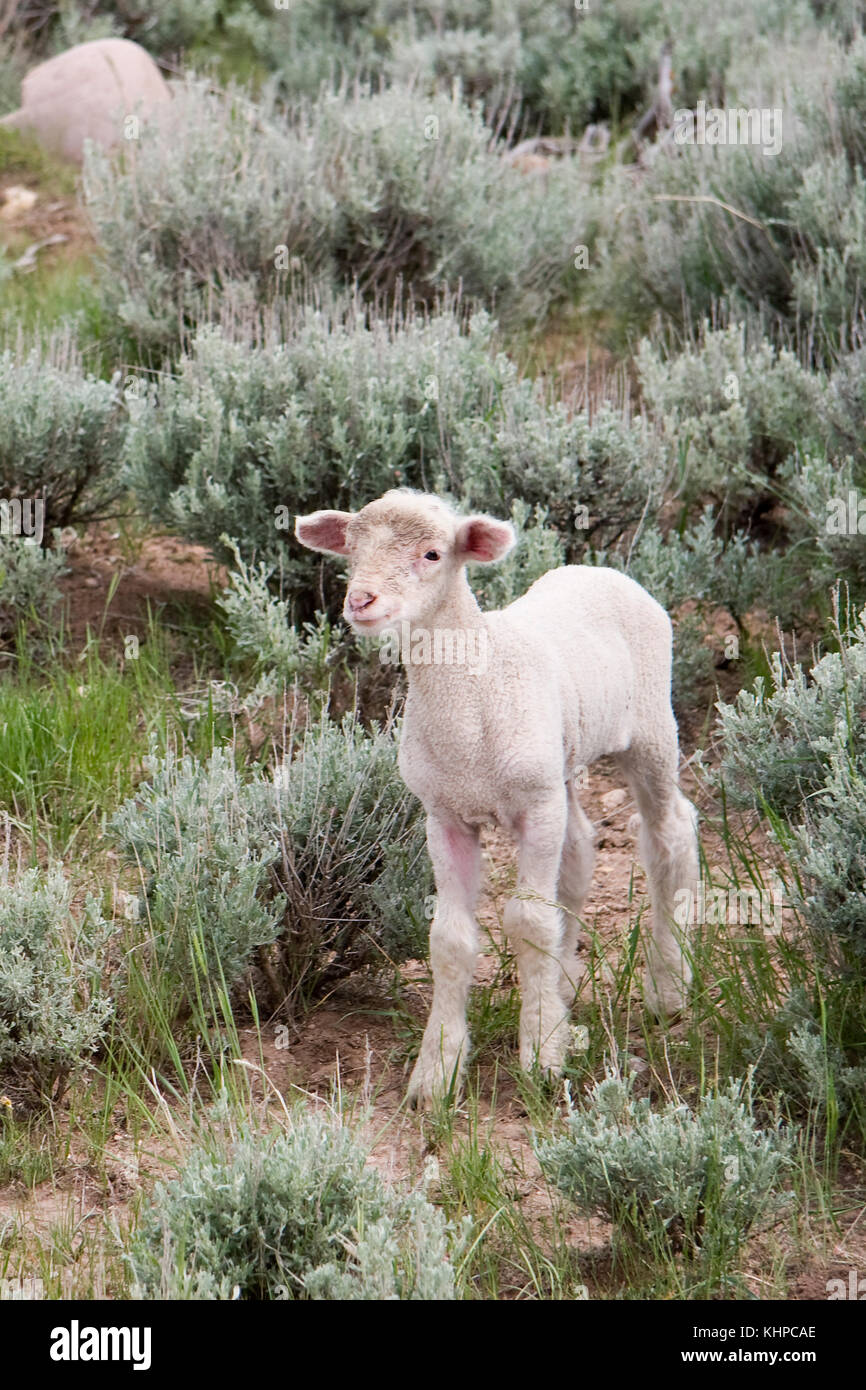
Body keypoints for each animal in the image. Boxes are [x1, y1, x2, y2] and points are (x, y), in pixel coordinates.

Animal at [296, 489, 699, 1106]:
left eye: (433, 554)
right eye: (353, 549)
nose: (361, 601)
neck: (475, 685)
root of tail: (600, 569)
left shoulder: (534, 805)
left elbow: (528, 922)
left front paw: (542, 1056)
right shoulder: (445, 815)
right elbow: (450, 938)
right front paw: (437, 1071)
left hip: (651, 728)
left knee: (671, 834)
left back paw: (668, 987)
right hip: (558, 767)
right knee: (578, 850)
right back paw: (562, 980)